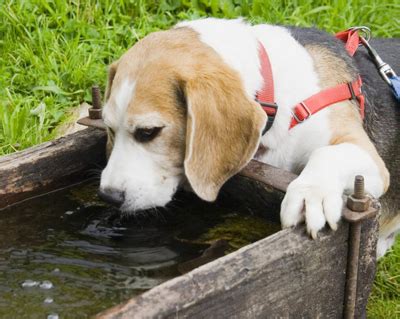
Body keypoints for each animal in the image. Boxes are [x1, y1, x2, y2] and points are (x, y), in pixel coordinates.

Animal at [98, 17, 398, 258]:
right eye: (109, 128)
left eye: (148, 132)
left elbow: (326, 153)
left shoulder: (367, 157)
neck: (277, 95)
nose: (108, 196)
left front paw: (310, 194)